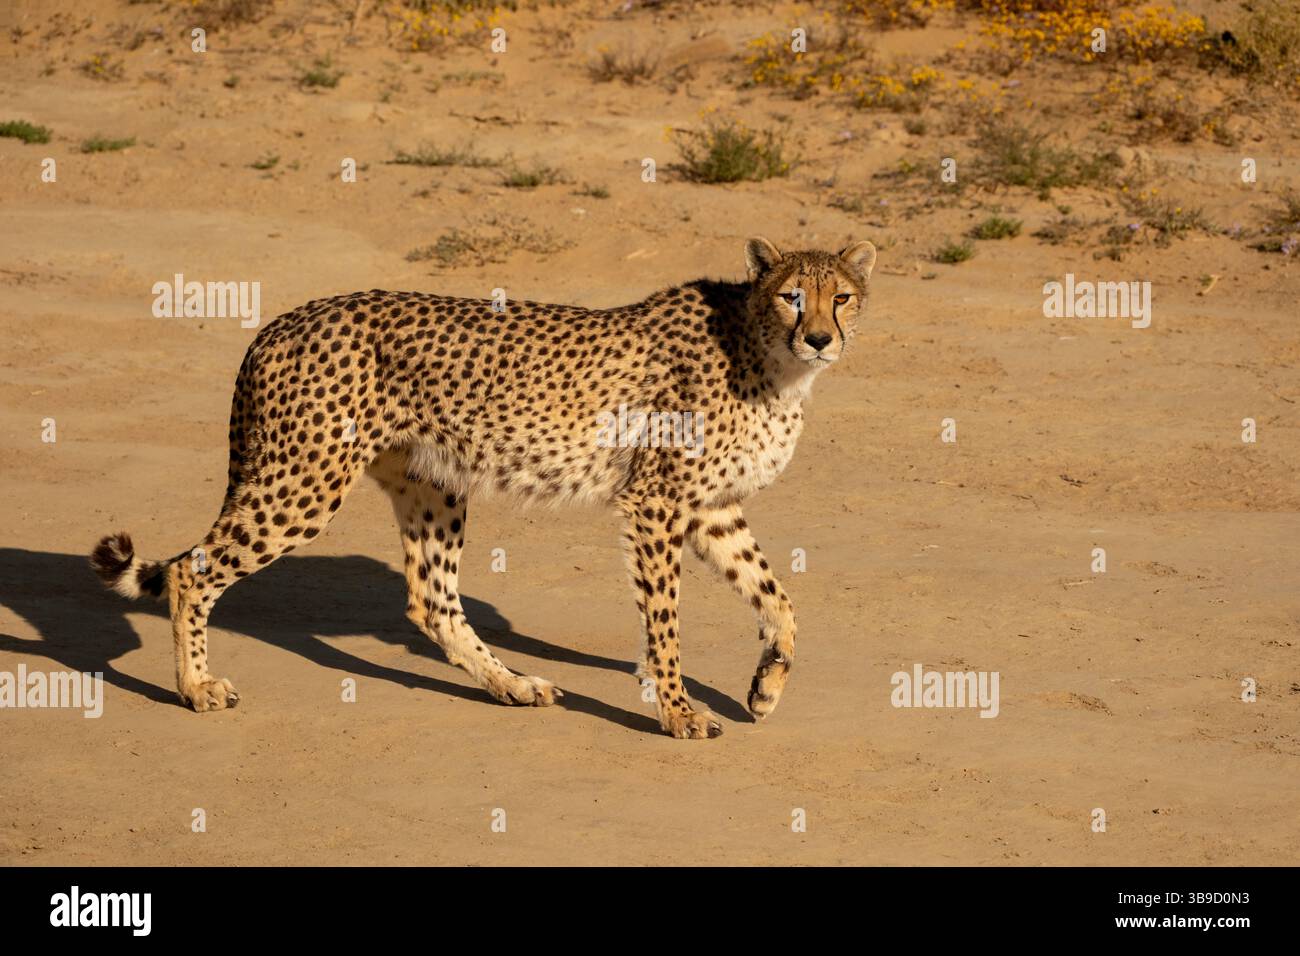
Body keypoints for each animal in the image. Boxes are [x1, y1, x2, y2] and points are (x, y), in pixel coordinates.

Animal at [90, 236, 877, 739]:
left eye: (843, 298)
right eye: (792, 297)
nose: (820, 339)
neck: (765, 356)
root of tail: (282, 320)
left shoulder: (709, 509)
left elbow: (779, 600)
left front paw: (765, 688)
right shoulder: (657, 504)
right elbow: (666, 623)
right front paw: (678, 712)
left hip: (429, 483)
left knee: (431, 600)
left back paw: (515, 685)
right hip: (304, 481)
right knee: (192, 572)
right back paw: (196, 689)